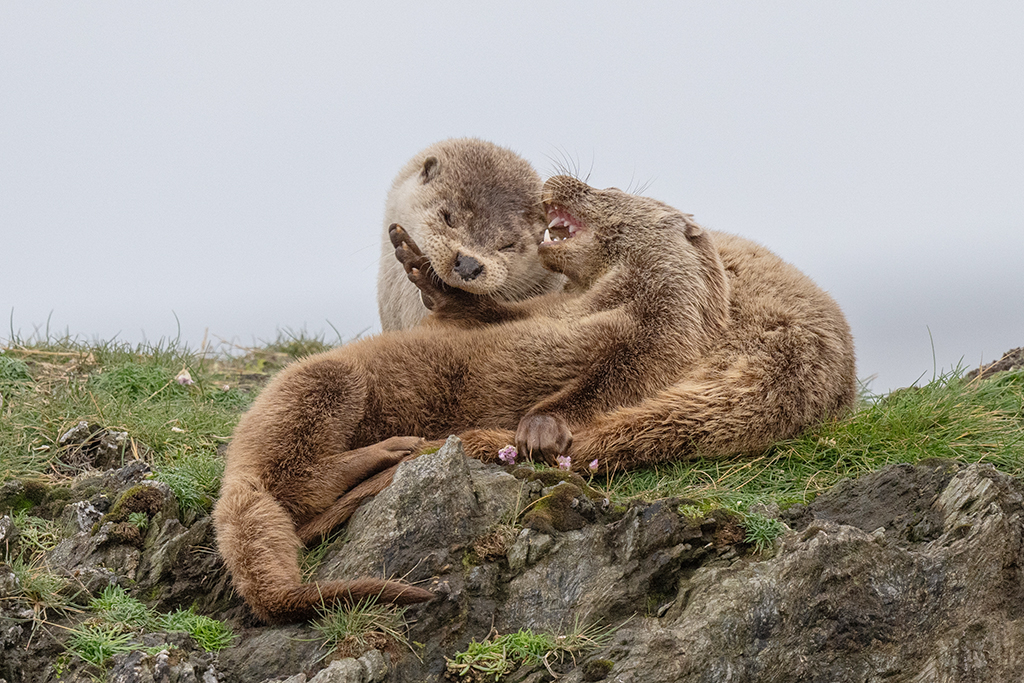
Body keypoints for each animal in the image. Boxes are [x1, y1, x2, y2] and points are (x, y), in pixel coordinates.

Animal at [214, 175, 726, 623]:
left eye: (612, 188)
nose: (558, 181)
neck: (593, 302)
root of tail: (236, 466)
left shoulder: (664, 331)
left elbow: (612, 381)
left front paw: (540, 428)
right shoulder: (531, 311)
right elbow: (473, 311)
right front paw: (419, 263)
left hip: (327, 379)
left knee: (295, 482)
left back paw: (394, 450)